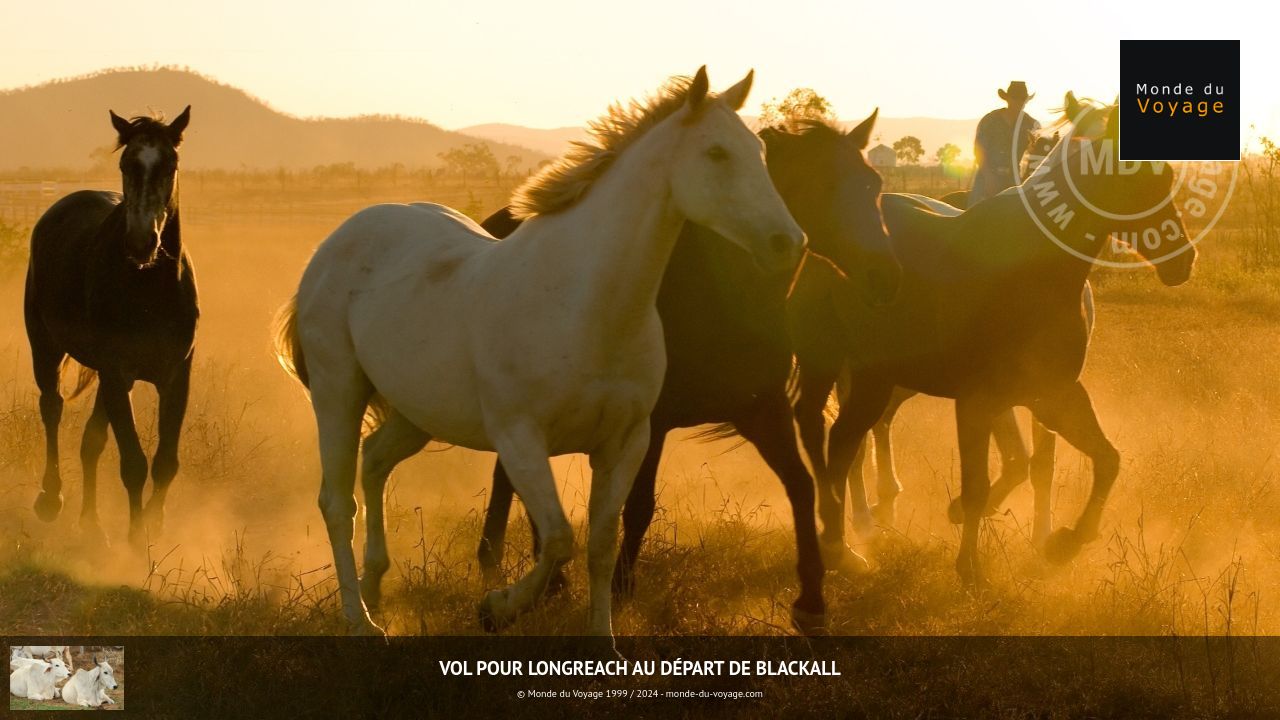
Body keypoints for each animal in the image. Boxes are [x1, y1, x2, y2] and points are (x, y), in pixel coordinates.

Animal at [26, 105, 197, 543]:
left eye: (170, 164)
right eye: (125, 163)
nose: (141, 242)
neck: (149, 288)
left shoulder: (175, 375)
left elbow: (165, 462)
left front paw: (155, 524)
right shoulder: (117, 373)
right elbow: (133, 462)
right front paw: (136, 541)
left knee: (92, 440)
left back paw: (92, 523)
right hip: (46, 347)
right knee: (51, 407)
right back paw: (50, 498)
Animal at [276, 65, 803, 638]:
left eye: (759, 150)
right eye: (716, 153)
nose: (788, 243)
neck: (584, 305)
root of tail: (334, 243)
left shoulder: (626, 441)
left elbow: (600, 545)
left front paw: (602, 641)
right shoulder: (521, 439)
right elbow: (558, 538)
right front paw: (497, 606)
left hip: (417, 414)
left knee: (373, 462)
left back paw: (375, 588)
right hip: (338, 391)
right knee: (336, 502)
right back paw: (360, 619)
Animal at [473, 112, 901, 632]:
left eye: (874, 183)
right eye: (823, 183)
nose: (885, 276)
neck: (715, 292)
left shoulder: (763, 410)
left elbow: (801, 485)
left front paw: (812, 602)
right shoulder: (649, 423)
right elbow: (639, 507)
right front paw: (622, 587)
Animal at [788, 105, 1198, 576]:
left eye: (1166, 174)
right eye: (1135, 177)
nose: (1183, 261)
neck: (1034, 273)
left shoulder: (1052, 395)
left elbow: (1103, 460)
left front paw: (1063, 543)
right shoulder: (977, 401)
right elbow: (979, 485)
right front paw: (969, 566)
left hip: (877, 381)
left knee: (846, 442)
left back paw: (846, 543)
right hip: (848, 373)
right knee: (840, 444)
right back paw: (848, 540)